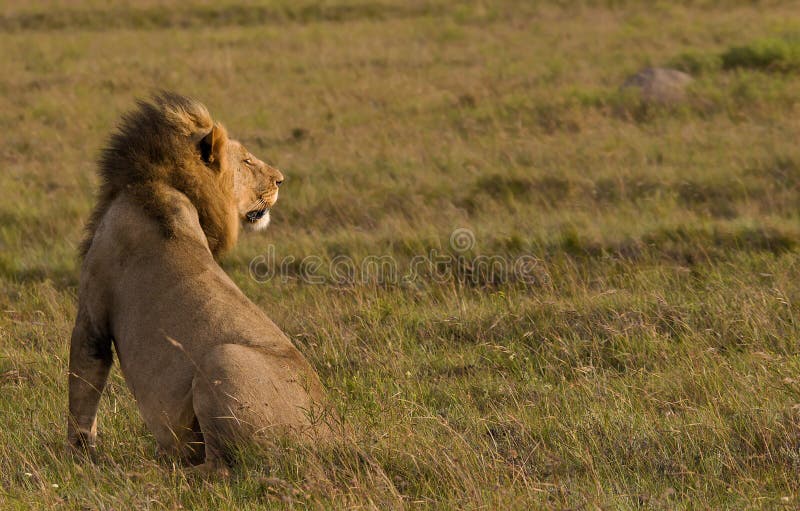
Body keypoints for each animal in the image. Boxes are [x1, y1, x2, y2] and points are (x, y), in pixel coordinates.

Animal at [68, 92, 332, 474]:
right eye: (247, 160)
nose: (281, 180)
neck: (161, 185)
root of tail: (333, 438)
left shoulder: (92, 318)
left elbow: (83, 393)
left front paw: (76, 459)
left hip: (222, 358)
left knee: (219, 468)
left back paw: (149, 471)